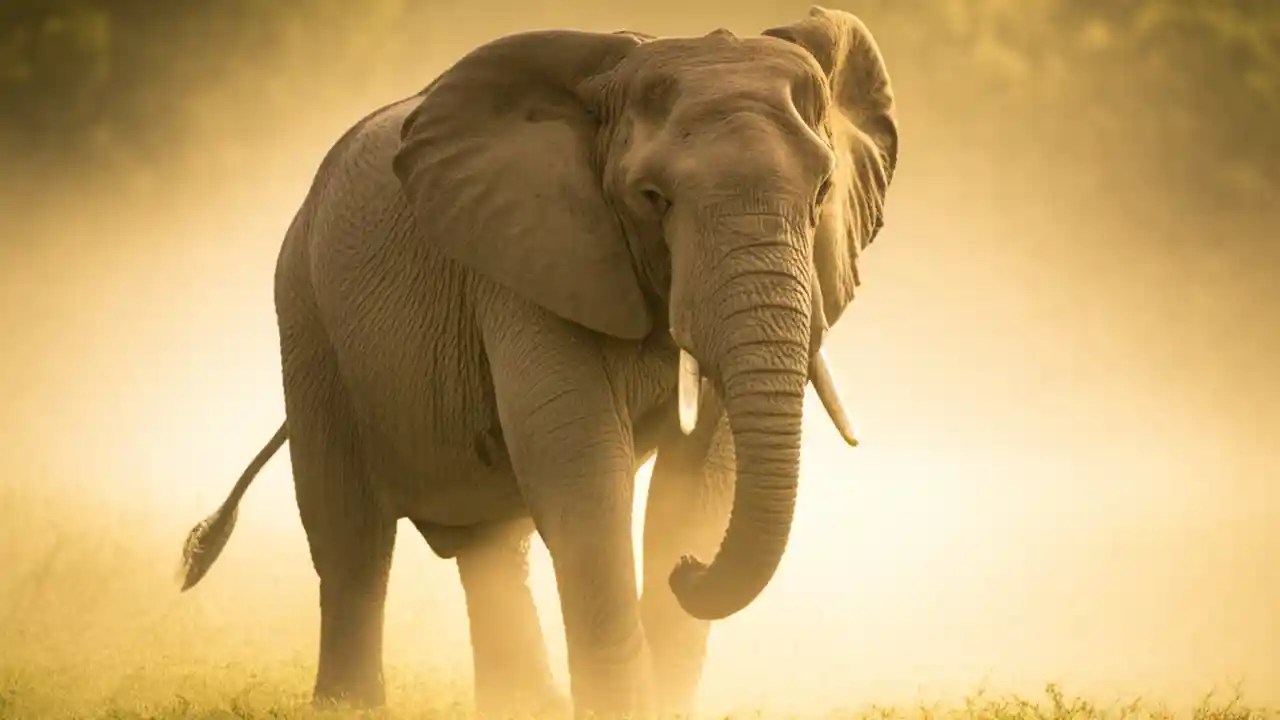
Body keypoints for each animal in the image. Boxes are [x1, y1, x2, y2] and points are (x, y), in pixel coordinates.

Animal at [178, 6, 899, 718]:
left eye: (822, 192)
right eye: (653, 198)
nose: (690, 571)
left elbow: (696, 485)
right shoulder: (523, 257)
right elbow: (583, 471)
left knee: (491, 549)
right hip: (307, 313)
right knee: (349, 538)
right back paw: (349, 707)